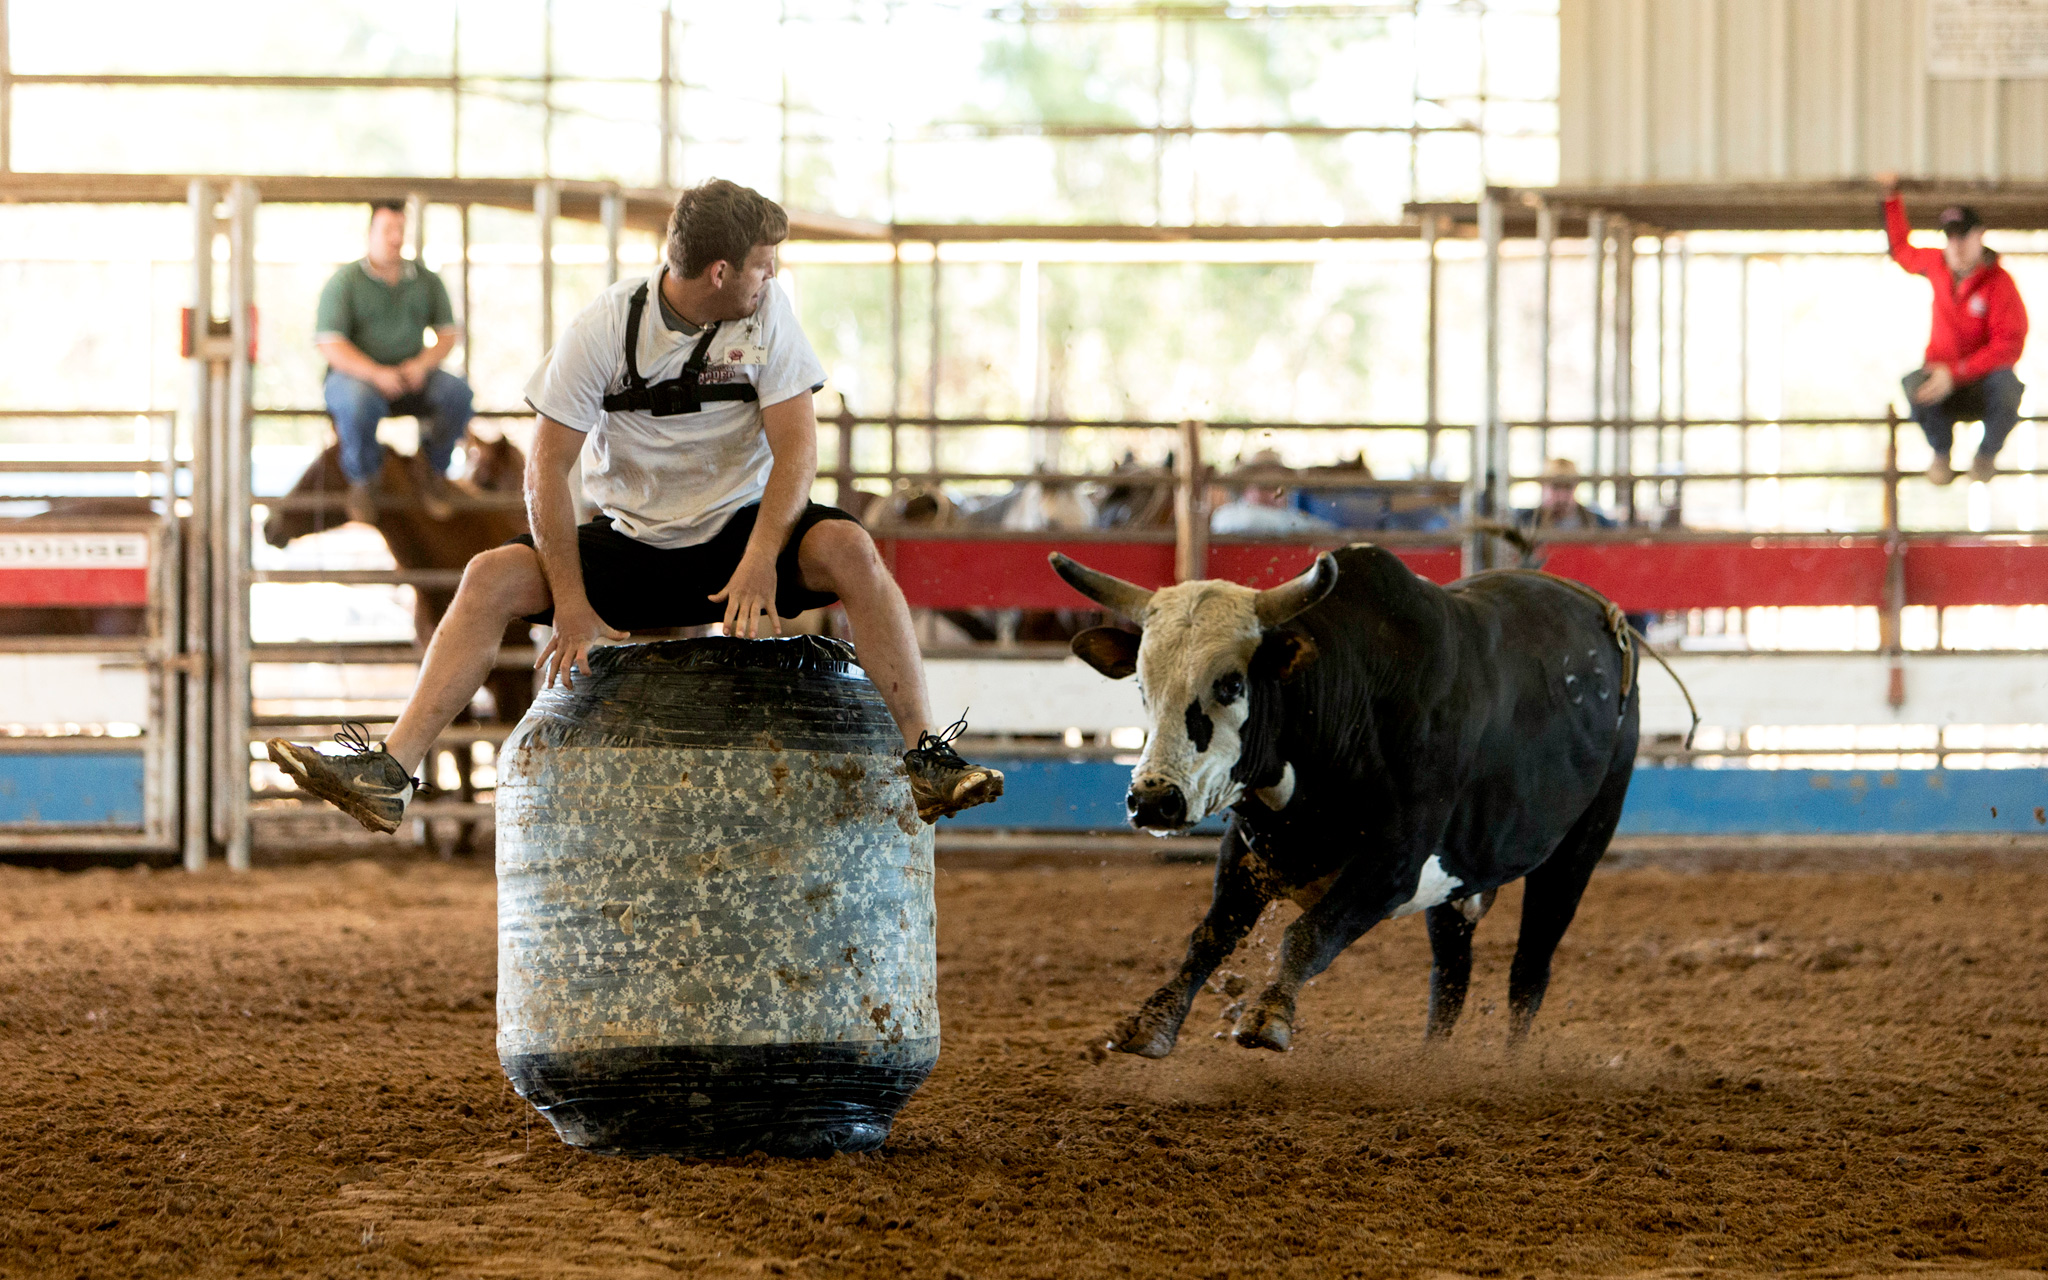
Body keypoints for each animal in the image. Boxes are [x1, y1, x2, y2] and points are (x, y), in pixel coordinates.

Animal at [1049, 543, 1640, 1056]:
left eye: (1230, 684)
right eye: (1141, 687)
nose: (1153, 800)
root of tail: (1606, 619)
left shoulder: (1392, 866)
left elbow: (1307, 935)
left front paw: (1268, 1017)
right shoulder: (1249, 852)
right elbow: (1209, 936)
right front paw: (1152, 1021)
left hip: (1579, 847)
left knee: (1529, 969)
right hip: (1457, 885)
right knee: (1450, 975)